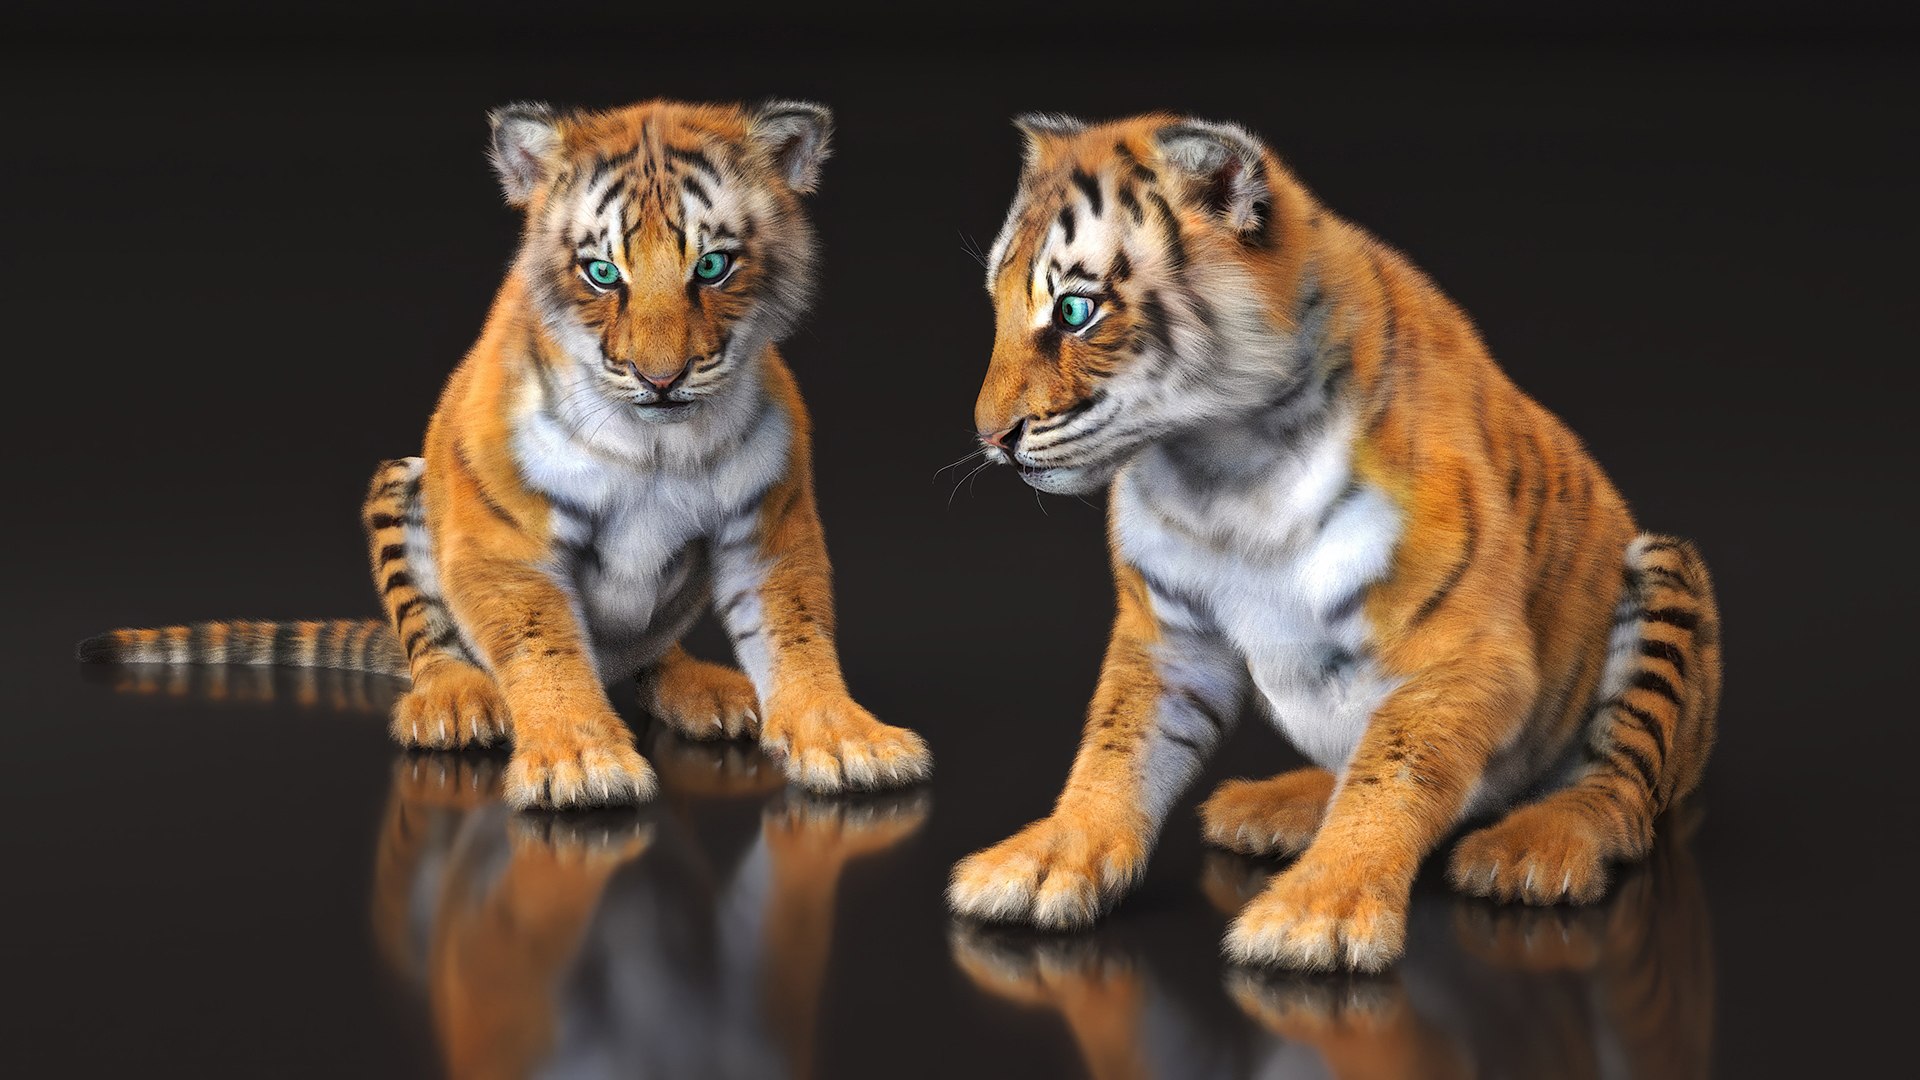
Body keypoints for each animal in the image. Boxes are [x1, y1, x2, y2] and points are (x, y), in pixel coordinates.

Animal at [77, 98, 931, 809]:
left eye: (713, 266)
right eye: (602, 272)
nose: (660, 379)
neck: (656, 440)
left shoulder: (768, 528)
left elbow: (798, 637)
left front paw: (847, 738)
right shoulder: (505, 540)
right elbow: (544, 648)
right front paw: (580, 762)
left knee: (652, 657)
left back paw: (704, 690)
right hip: (403, 481)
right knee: (436, 641)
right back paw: (454, 701)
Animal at [946, 112, 1721, 972]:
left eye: (1075, 313)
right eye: (997, 303)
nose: (990, 438)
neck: (1224, 467)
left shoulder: (1464, 652)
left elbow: (1395, 770)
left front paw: (1320, 911)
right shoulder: (1168, 637)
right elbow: (1115, 749)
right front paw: (1048, 858)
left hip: (1663, 571)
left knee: (1620, 797)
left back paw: (1532, 850)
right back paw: (1278, 806)